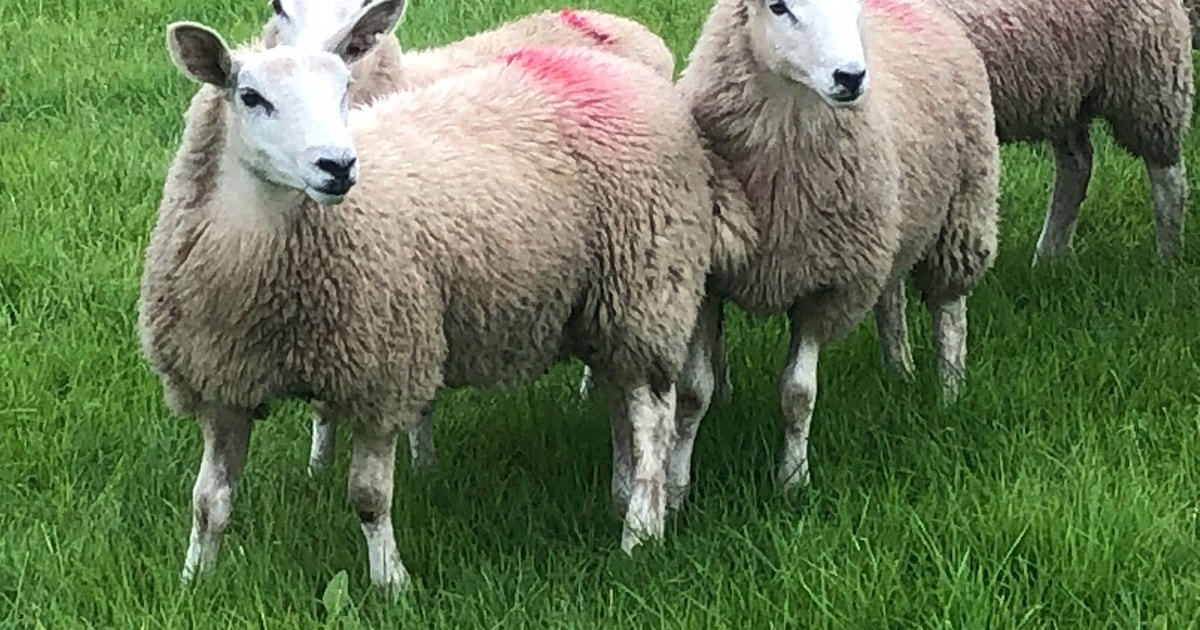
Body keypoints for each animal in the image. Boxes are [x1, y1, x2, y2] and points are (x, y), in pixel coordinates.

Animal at [142, 0, 757, 595]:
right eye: (250, 97)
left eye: (344, 90)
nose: (338, 166)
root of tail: (607, 68)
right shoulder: (219, 382)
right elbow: (208, 502)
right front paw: (194, 581)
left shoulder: (385, 373)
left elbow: (369, 498)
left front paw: (391, 584)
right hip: (601, 305)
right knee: (619, 397)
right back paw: (622, 493)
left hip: (647, 286)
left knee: (652, 415)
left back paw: (641, 531)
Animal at [663, 0, 1001, 504]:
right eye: (778, 7)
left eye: (852, 7)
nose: (851, 77)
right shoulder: (710, 283)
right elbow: (692, 395)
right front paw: (677, 488)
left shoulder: (826, 288)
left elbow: (798, 394)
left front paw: (792, 482)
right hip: (892, 225)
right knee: (890, 296)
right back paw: (899, 367)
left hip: (963, 208)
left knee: (949, 311)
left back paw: (950, 391)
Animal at [931, 0, 1193, 264]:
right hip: (1065, 95)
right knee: (1077, 165)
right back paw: (1049, 256)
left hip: (1147, 76)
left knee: (1167, 177)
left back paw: (1168, 257)